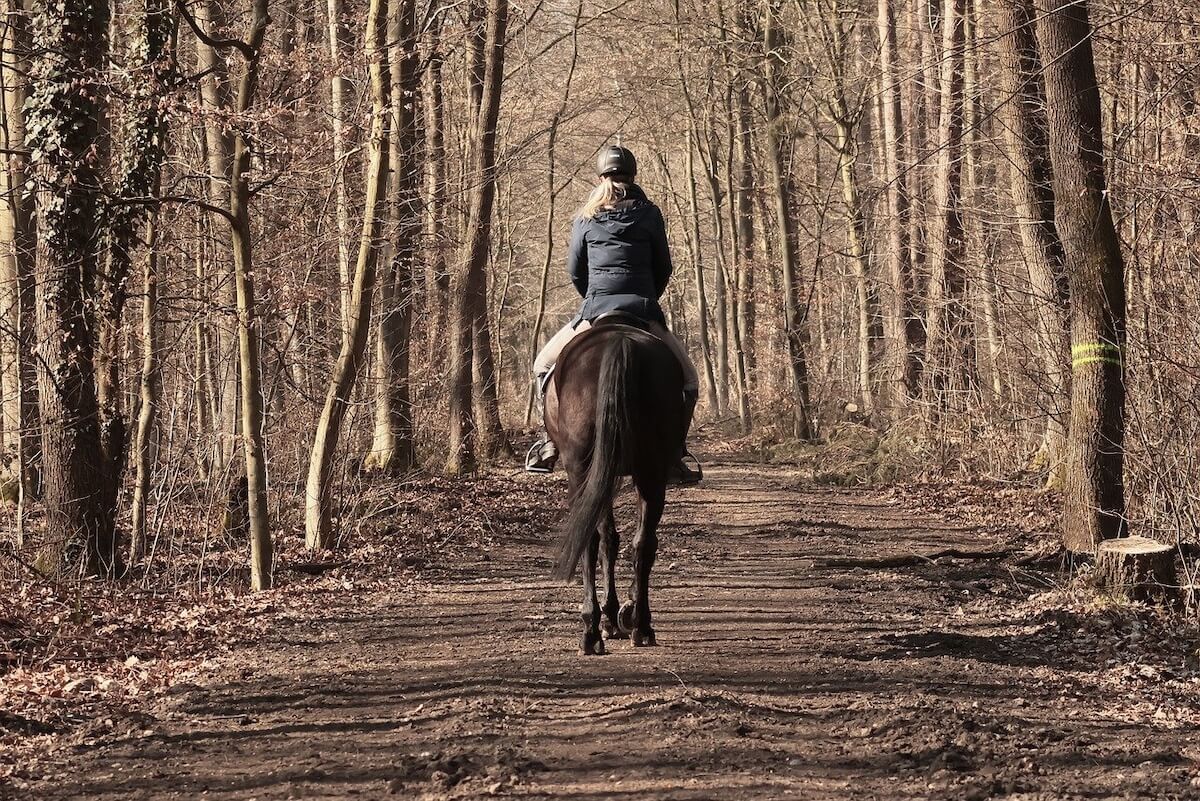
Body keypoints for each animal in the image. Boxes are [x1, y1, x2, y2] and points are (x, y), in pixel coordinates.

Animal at [546, 313, 688, 655]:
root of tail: (620, 341)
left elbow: (606, 539)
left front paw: (610, 617)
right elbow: (614, 539)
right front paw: (621, 613)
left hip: (585, 469)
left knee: (591, 538)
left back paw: (593, 631)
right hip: (650, 471)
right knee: (644, 542)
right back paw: (641, 627)